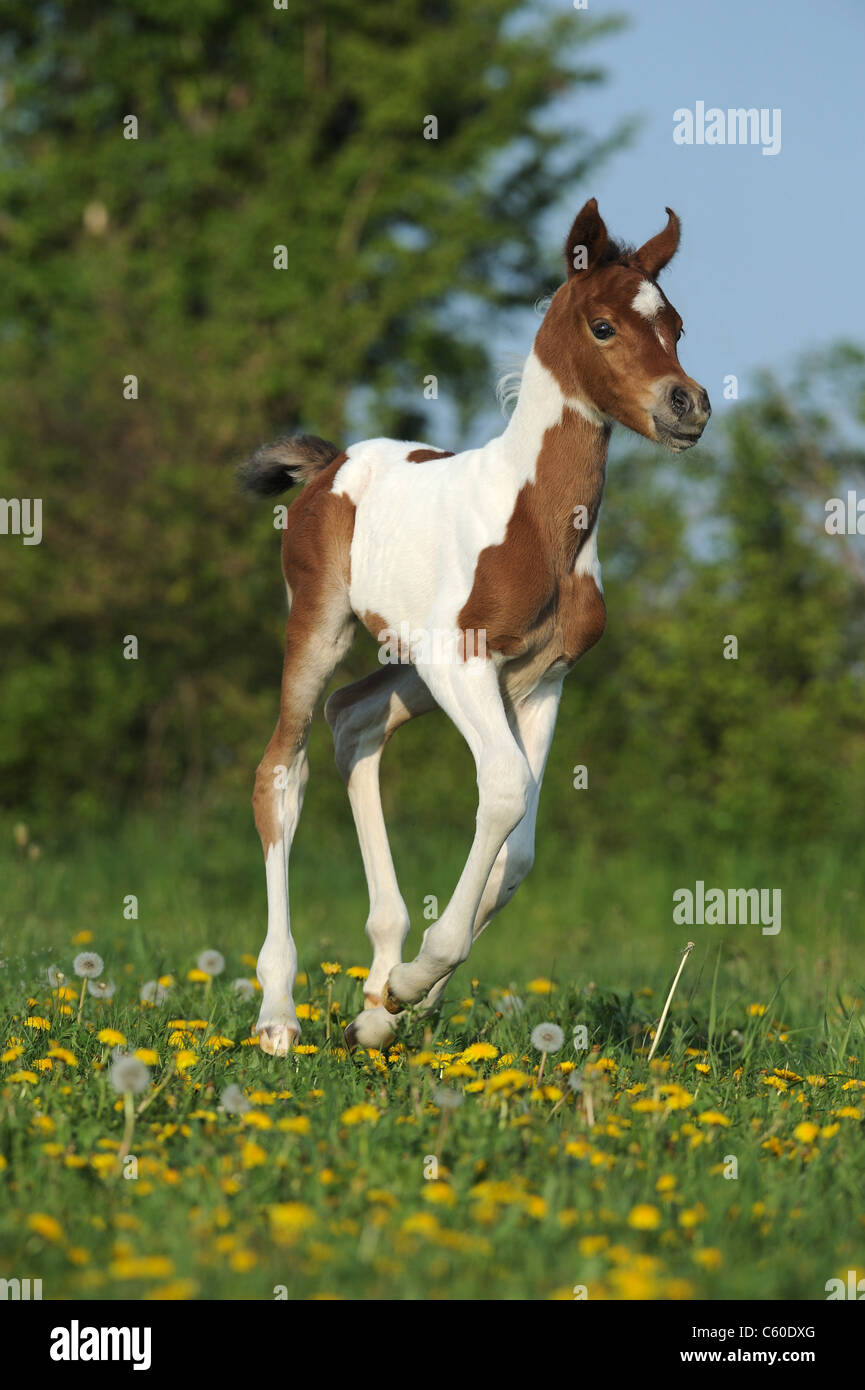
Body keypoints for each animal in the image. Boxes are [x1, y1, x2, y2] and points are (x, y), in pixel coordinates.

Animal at [239, 197, 710, 1056]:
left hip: (412, 669)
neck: (539, 526)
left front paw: (390, 1004)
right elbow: (503, 789)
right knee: (281, 771)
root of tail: (330, 464)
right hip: (324, 627)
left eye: (676, 326)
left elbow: (518, 850)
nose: (686, 405)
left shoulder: (539, 681)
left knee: (353, 719)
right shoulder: (462, 660)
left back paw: (373, 980)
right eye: (602, 326)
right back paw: (279, 1013)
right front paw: (416, 980)